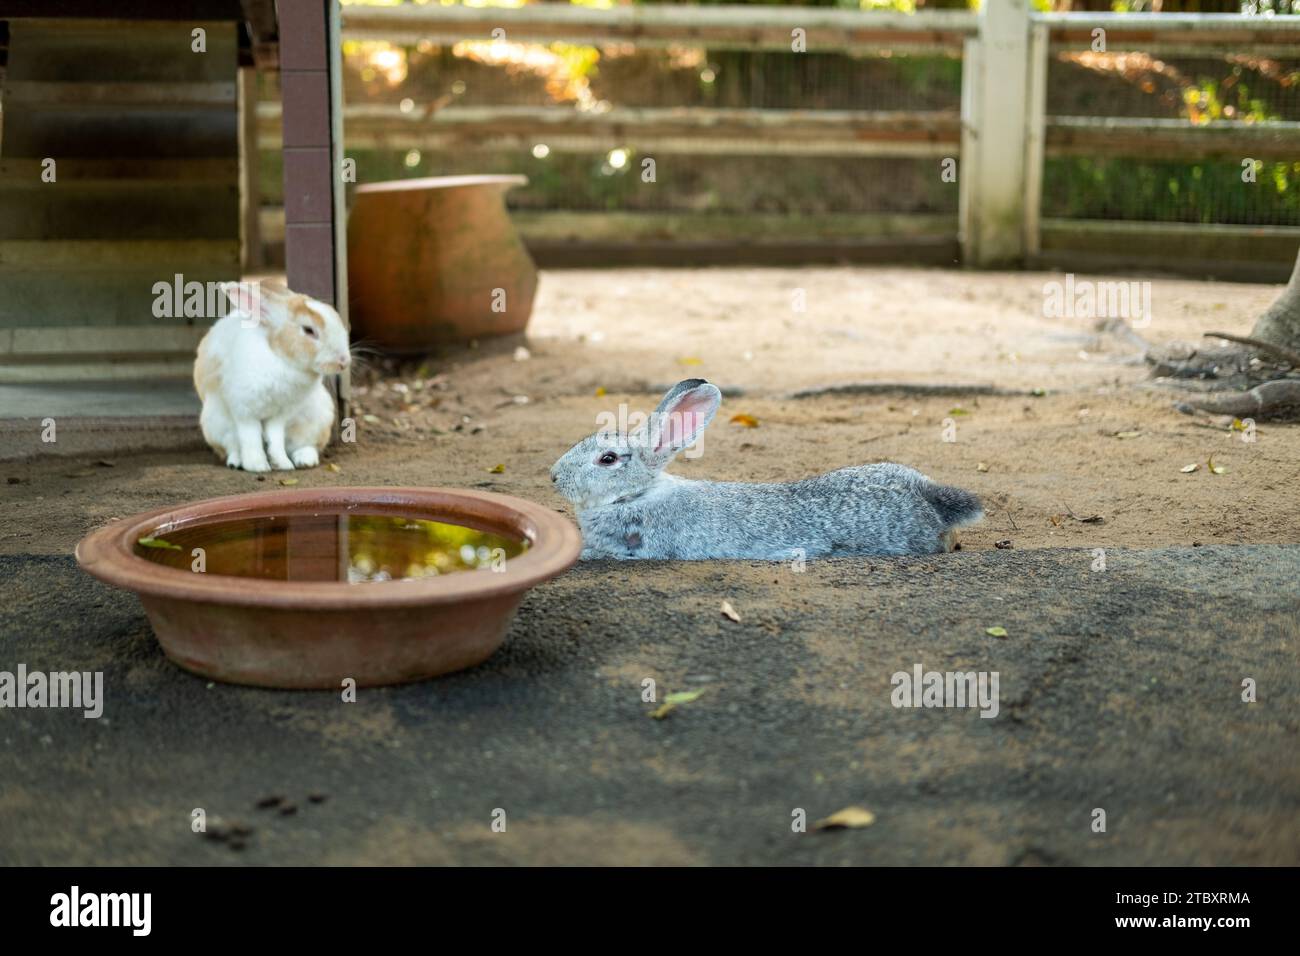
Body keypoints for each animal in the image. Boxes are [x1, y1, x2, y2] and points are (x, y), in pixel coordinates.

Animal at [193, 280, 350, 472]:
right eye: (308, 330)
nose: (344, 361)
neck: (281, 358)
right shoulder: (245, 412)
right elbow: (250, 437)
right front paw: (258, 466)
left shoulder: (280, 415)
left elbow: (275, 439)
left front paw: (281, 463)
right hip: (216, 425)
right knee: (232, 446)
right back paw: (236, 462)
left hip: (317, 419)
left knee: (307, 445)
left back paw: (305, 460)